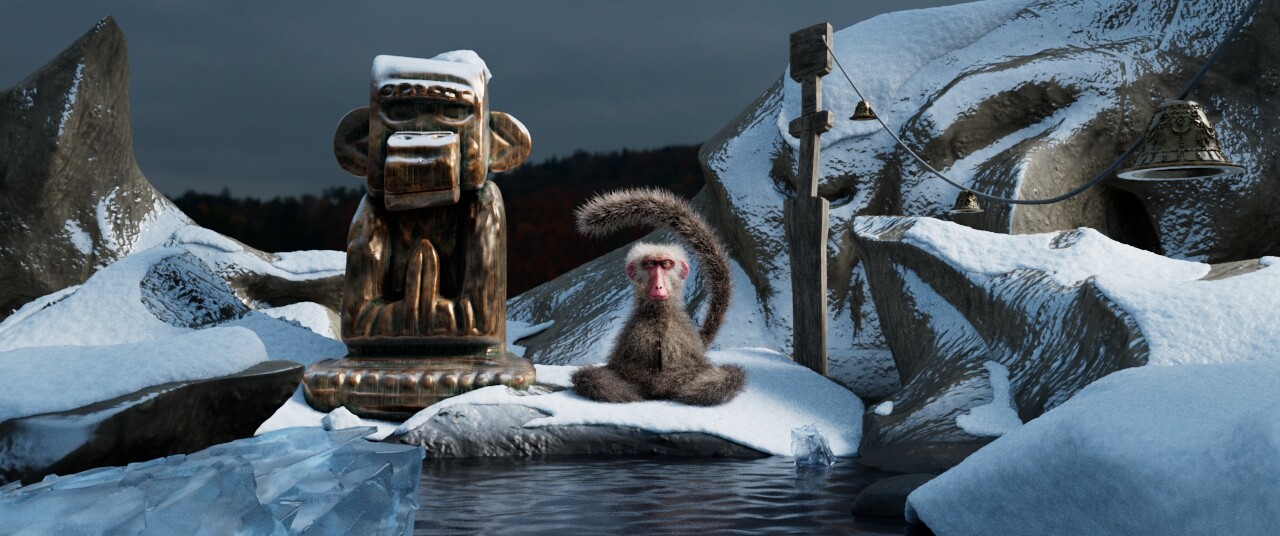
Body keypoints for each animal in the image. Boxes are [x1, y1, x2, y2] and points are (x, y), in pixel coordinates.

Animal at [569, 188, 745, 406]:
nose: (658, 286)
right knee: (589, 376)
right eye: (650, 264)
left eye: (666, 264)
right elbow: (605, 374)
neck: (659, 315)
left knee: (730, 375)